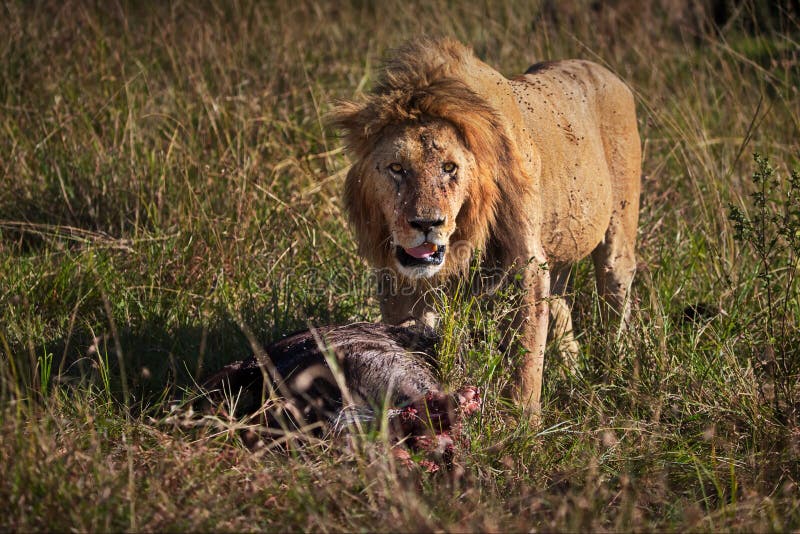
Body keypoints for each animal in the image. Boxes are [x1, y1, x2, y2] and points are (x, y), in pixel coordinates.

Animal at [330, 38, 641, 422]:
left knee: (615, 293)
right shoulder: (400, 278)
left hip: (617, 233)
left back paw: (617, 371)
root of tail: (603, 70)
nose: (426, 224)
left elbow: (526, 357)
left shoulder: (528, 265)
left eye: (449, 167)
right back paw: (573, 371)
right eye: (397, 168)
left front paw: (523, 425)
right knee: (560, 304)